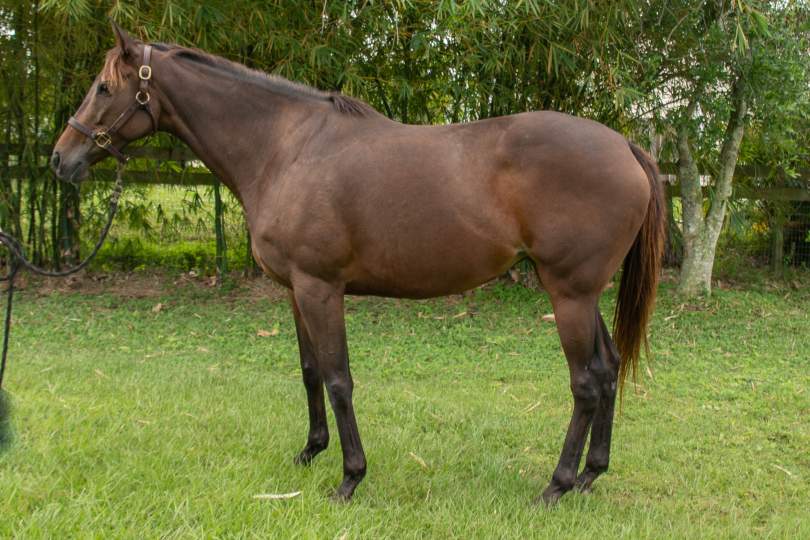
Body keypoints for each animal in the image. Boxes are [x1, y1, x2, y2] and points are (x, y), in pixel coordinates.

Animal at [51, 22, 664, 504]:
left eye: (104, 88)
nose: (62, 159)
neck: (284, 148)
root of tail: (626, 147)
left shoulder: (321, 287)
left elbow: (339, 378)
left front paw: (349, 478)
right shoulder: (294, 291)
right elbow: (309, 373)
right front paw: (309, 453)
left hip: (569, 294)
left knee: (585, 382)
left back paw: (556, 485)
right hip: (580, 293)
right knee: (607, 370)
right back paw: (589, 475)